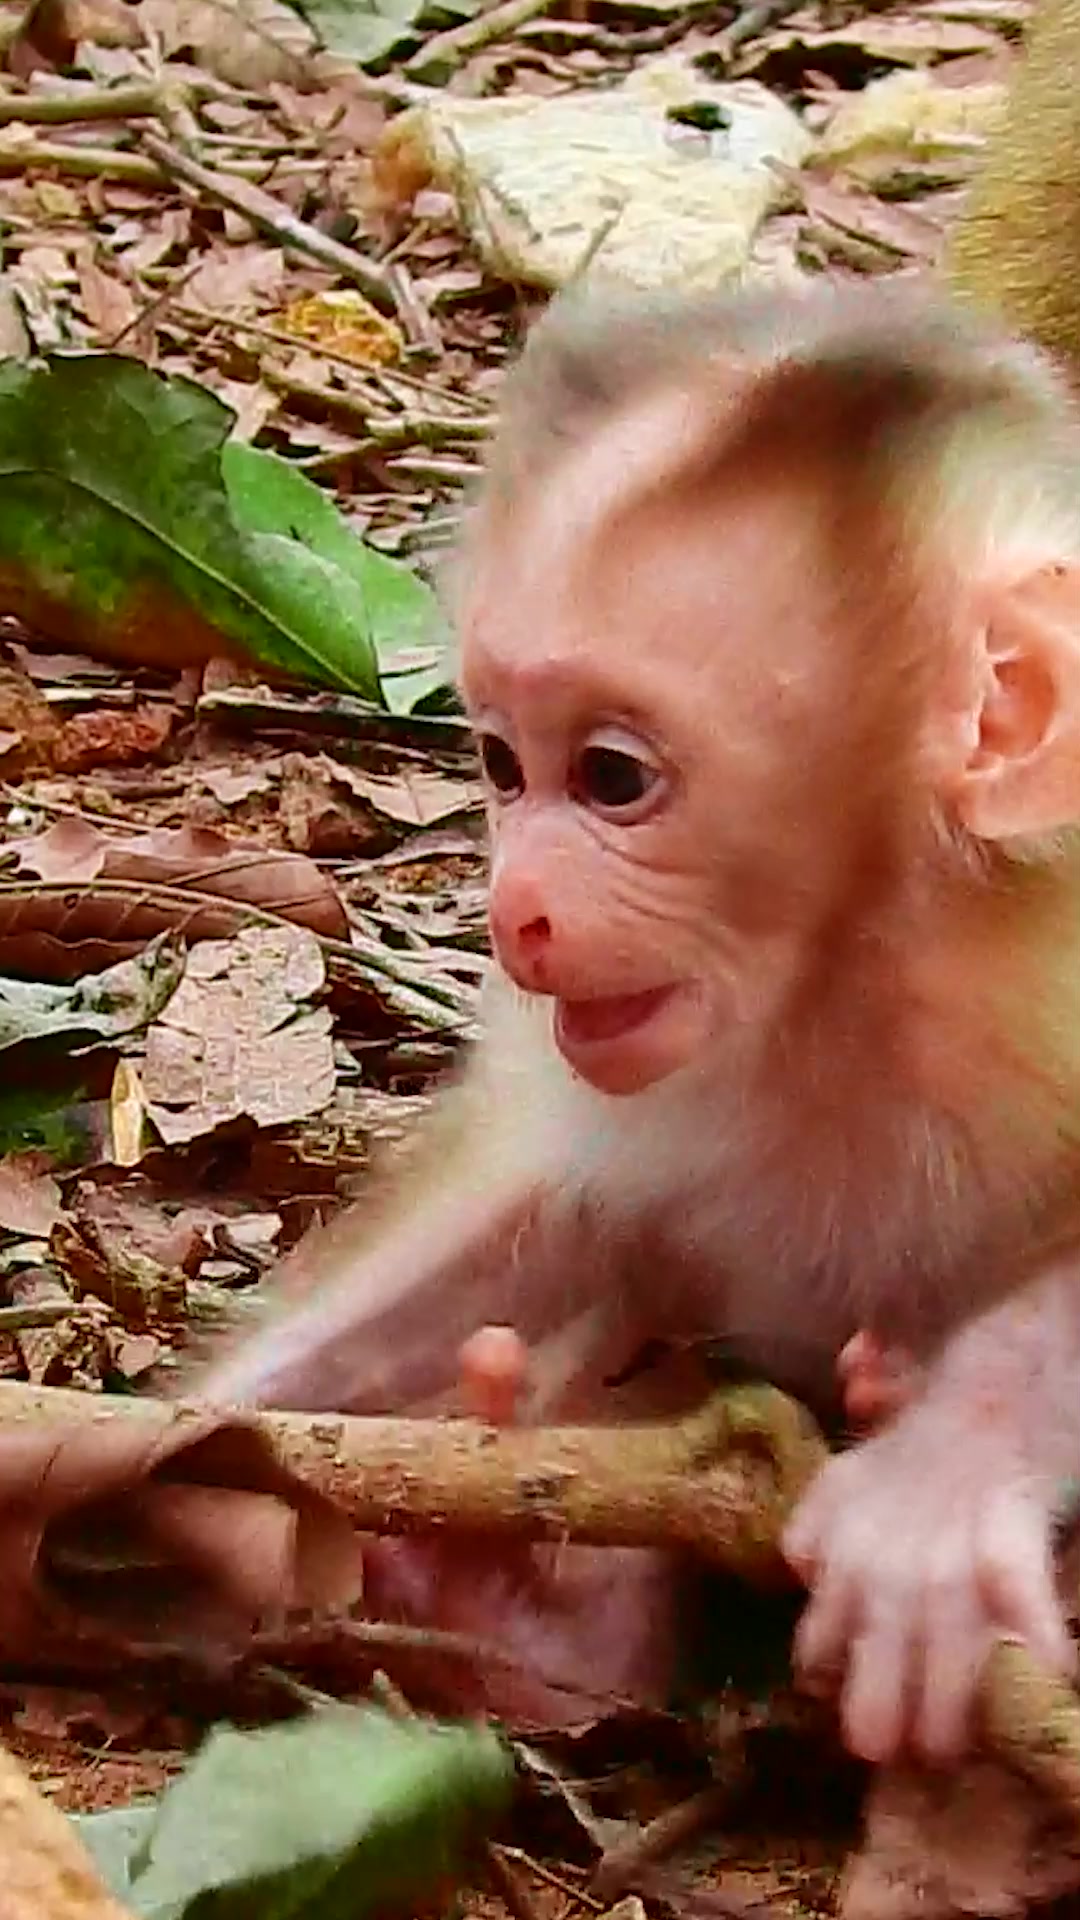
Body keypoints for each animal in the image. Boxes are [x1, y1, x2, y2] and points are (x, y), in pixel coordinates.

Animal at [194, 276, 1080, 1766]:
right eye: (504, 765)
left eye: (613, 778)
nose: (514, 912)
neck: (857, 968)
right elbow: (550, 1217)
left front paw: (950, 1472)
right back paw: (522, 1601)